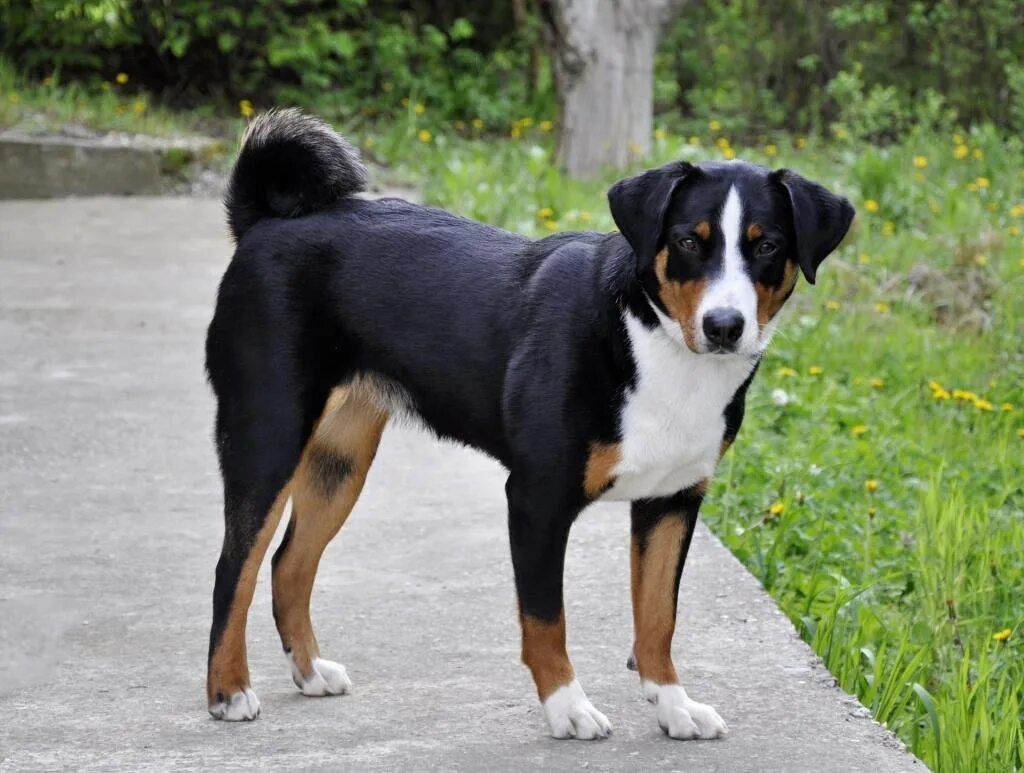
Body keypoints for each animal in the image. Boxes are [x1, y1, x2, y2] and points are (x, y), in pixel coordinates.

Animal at [201, 107, 856, 737]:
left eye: (766, 246)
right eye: (689, 242)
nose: (724, 325)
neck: (653, 345)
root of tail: (266, 224)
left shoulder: (671, 502)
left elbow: (657, 618)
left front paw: (673, 706)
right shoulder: (538, 498)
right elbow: (546, 619)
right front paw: (568, 707)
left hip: (341, 461)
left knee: (290, 564)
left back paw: (310, 671)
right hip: (268, 436)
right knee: (235, 567)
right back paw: (229, 691)